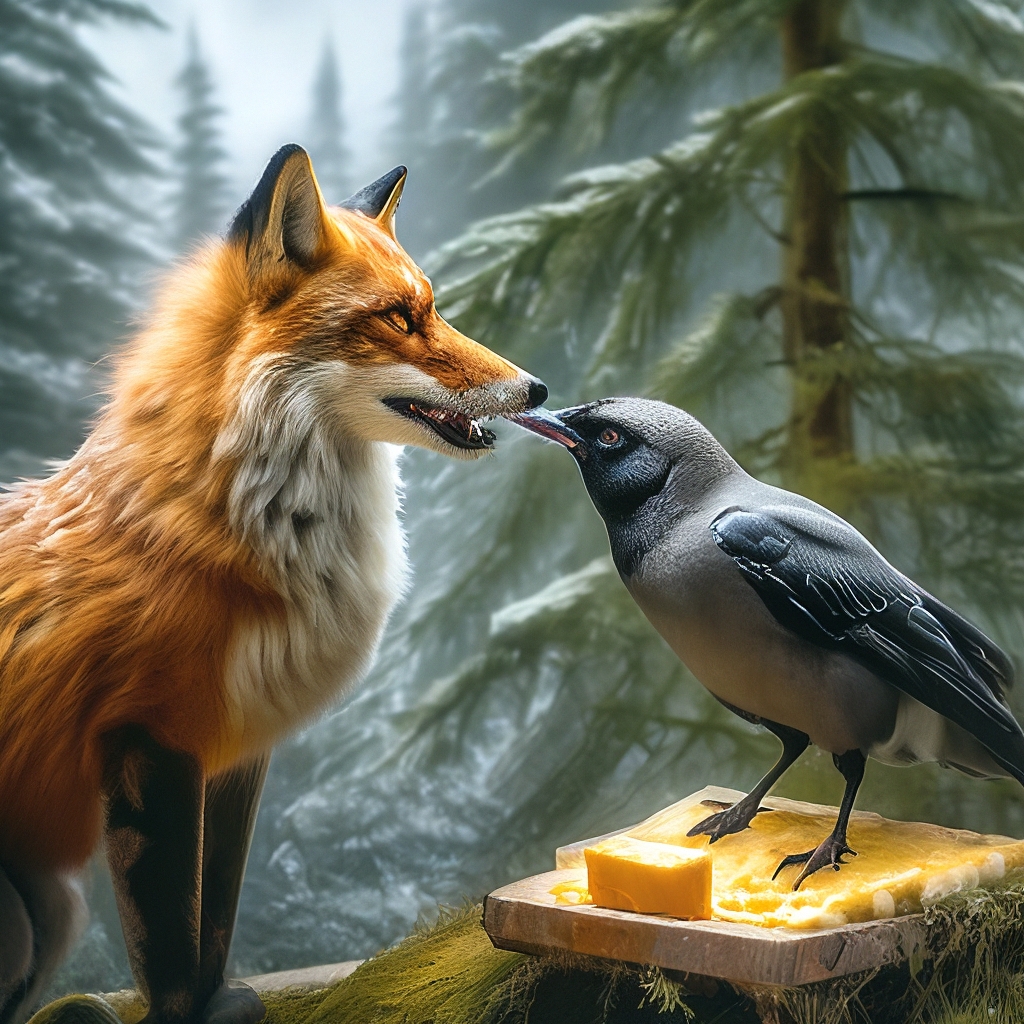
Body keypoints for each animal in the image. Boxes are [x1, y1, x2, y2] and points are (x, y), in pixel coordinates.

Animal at [0, 145, 546, 1024]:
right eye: (399, 318)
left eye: (431, 309)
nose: (538, 389)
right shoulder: (149, 746)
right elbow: (169, 942)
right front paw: (186, 1012)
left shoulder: (236, 751)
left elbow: (216, 909)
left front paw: (224, 999)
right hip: (38, 914)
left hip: (48, 913)